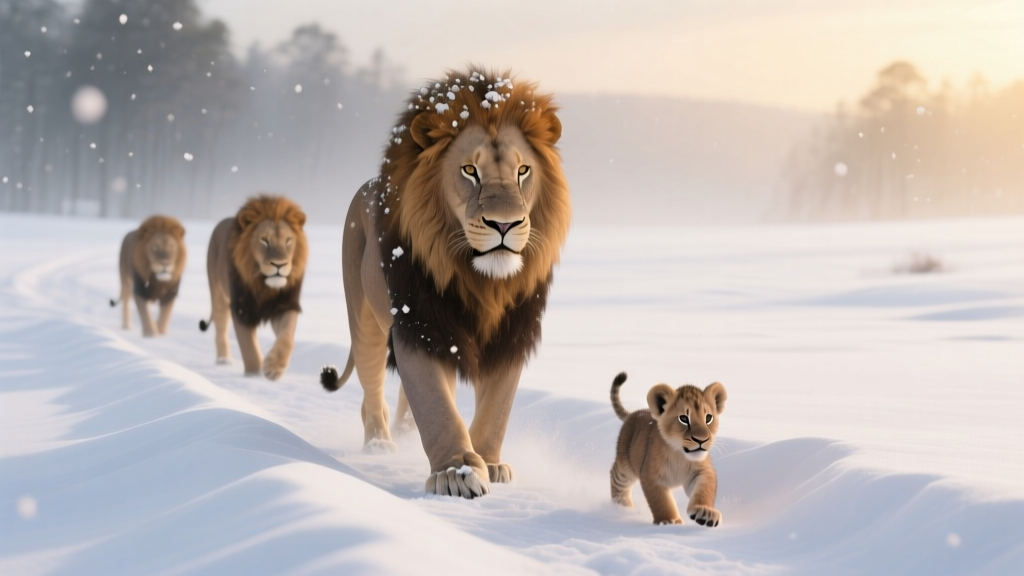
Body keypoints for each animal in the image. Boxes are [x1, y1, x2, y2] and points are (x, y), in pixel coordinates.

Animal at [199, 195, 308, 380]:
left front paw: (274, 367)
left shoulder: (284, 305)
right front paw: (253, 377)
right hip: (218, 295)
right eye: (264, 240)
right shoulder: (241, 309)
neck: (263, 286)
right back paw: (223, 360)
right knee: (221, 328)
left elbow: (286, 337)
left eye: (288, 240)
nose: (279, 264)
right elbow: (249, 348)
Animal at [319, 68, 571, 499]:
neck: (480, 281)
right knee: (372, 389)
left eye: (523, 171)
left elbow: (497, 408)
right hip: (366, 322)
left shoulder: (512, 332)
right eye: (470, 171)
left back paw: (404, 435)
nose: (505, 224)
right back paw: (380, 443)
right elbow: (435, 405)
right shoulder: (419, 324)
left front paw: (489, 462)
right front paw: (457, 471)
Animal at [609, 372, 727, 526]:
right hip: (625, 467)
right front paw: (669, 521)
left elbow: (704, 491)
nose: (701, 440)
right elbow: (661, 501)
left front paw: (705, 513)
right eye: (684, 418)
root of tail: (633, 414)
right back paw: (623, 509)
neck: (679, 454)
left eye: (708, 418)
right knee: (616, 478)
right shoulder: (651, 476)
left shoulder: (702, 471)